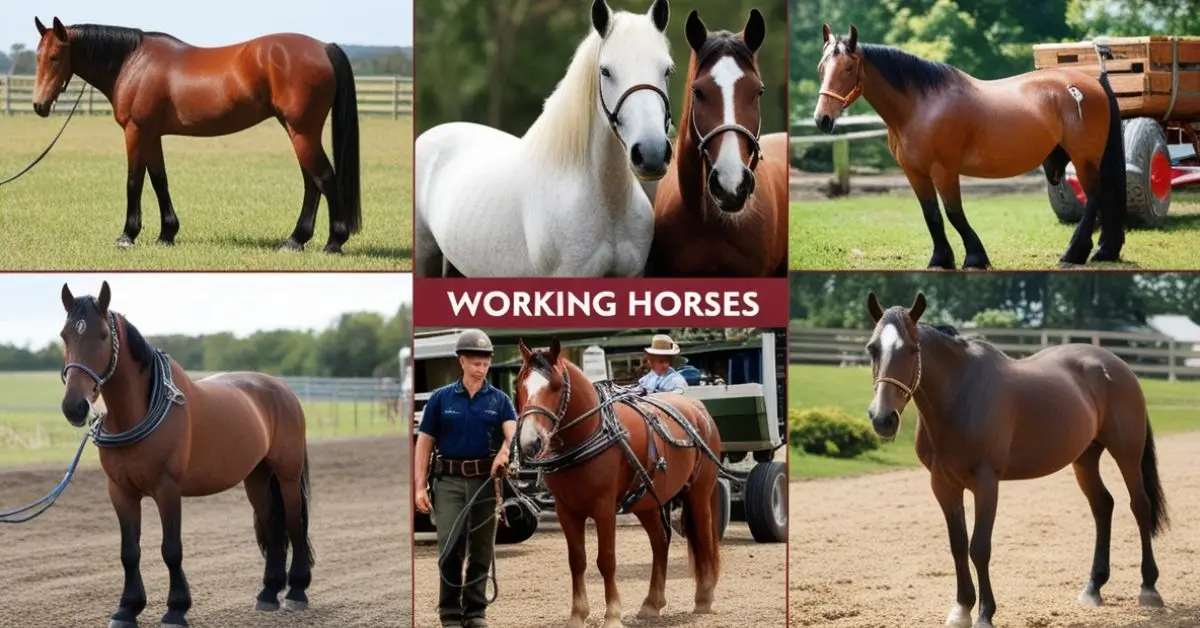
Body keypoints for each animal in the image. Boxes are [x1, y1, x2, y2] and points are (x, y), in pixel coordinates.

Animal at [32, 17, 361, 253]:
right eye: (38, 57)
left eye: (55, 57)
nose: (39, 105)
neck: (133, 62)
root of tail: (324, 47)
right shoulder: (152, 135)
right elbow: (159, 181)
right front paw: (167, 234)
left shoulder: (135, 132)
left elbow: (134, 182)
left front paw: (127, 235)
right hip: (298, 130)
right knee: (312, 182)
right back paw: (295, 240)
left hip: (302, 131)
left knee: (324, 178)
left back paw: (333, 242)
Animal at [56, 281, 314, 628]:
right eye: (65, 335)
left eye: (102, 336)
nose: (74, 406)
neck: (137, 413)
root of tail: (282, 389)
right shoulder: (121, 491)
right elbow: (129, 551)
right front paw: (127, 609)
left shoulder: (168, 489)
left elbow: (171, 549)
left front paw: (176, 609)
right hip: (257, 478)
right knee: (272, 526)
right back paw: (268, 594)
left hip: (287, 473)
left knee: (293, 522)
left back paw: (297, 591)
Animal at [514, 338, 722, 627]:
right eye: (519, 385)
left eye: (555, 385)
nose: (530, 442)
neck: (590, 432)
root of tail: (699, 411)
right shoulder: (566, 510)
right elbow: (577, 560)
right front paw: (578, 614)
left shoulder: (604, 508)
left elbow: (606, 560)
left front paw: (612, 614)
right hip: (648, 501)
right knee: (660, 542)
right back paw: (652, 602)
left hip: (699, 494)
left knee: (703, 539)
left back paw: (704, 597)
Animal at [814, 25, 1127, 269]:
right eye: (821, 68)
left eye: (848, 67)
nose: (822, 119)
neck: (921, 106)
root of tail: (1094, 84)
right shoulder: (915, 173)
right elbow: (931, 214)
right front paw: (941, 259)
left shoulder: (944, 170)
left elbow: (953, 213)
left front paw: (975, 257)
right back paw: (1101, 250)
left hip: (1084, 159)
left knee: (1094, 197)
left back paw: (1074, 253)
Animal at [864, 292, 1168, 628]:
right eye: (872, 348)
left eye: (913, 349)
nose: (883, 418)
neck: (960, 395)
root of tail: (1118, 365)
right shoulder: (943, 484)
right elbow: (958, 545)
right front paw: (961, 608)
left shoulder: (986, 482)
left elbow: (979, 547)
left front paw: (985, 614)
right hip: (1086, 458)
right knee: (1103, 506)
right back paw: (1093, 587)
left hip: (1127, 452)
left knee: (1140, 506)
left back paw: (1149, 588)